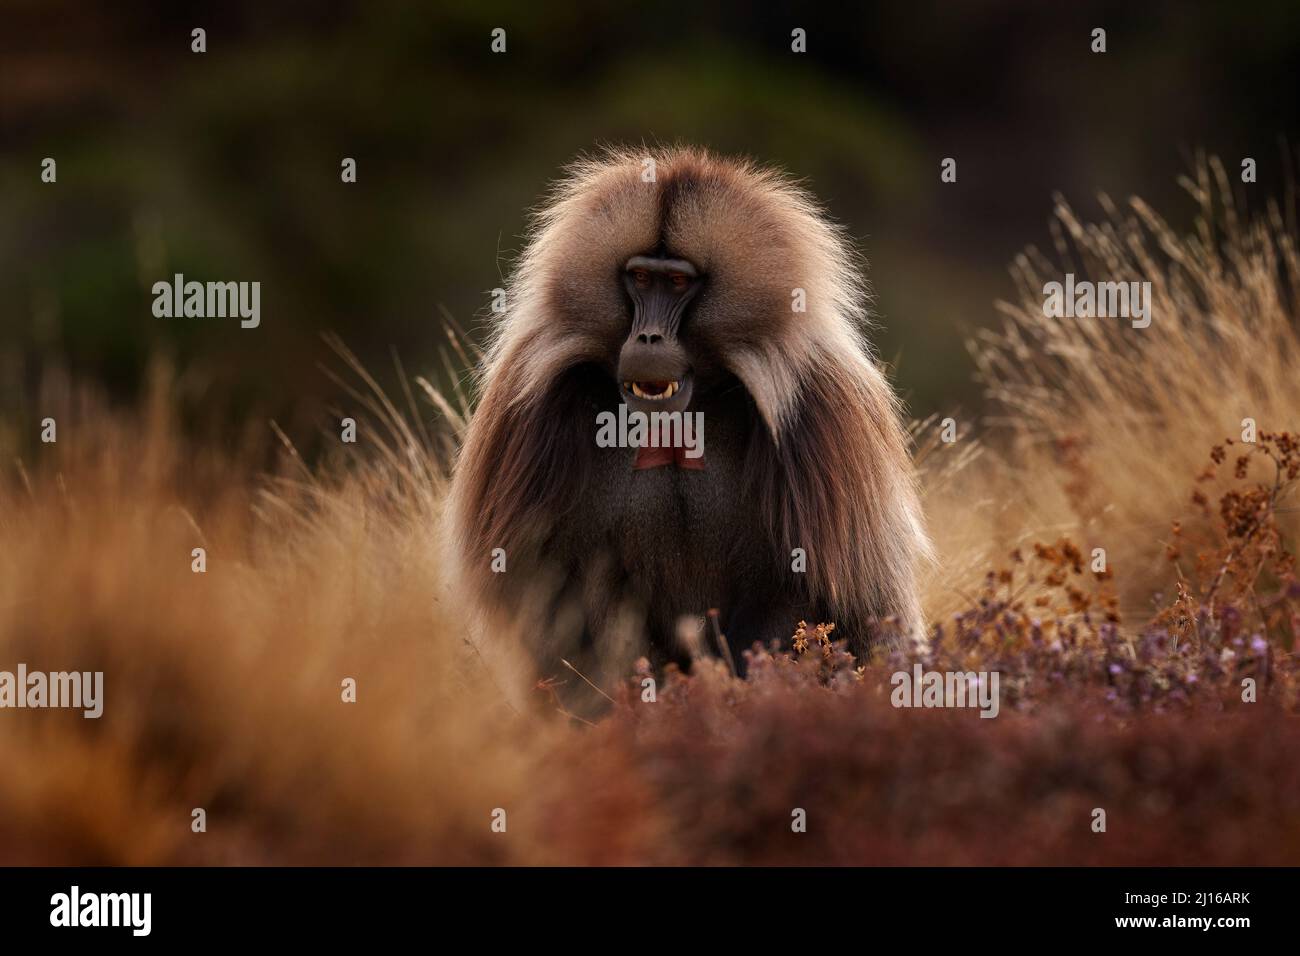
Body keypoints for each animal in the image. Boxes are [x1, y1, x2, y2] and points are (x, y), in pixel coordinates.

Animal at [447, 146, 931, 703]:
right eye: (639, 278)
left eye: (677, 282)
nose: (649, 339)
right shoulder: (526, 405)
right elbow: (539, 581)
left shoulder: (821, 408)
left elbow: (816, 584)